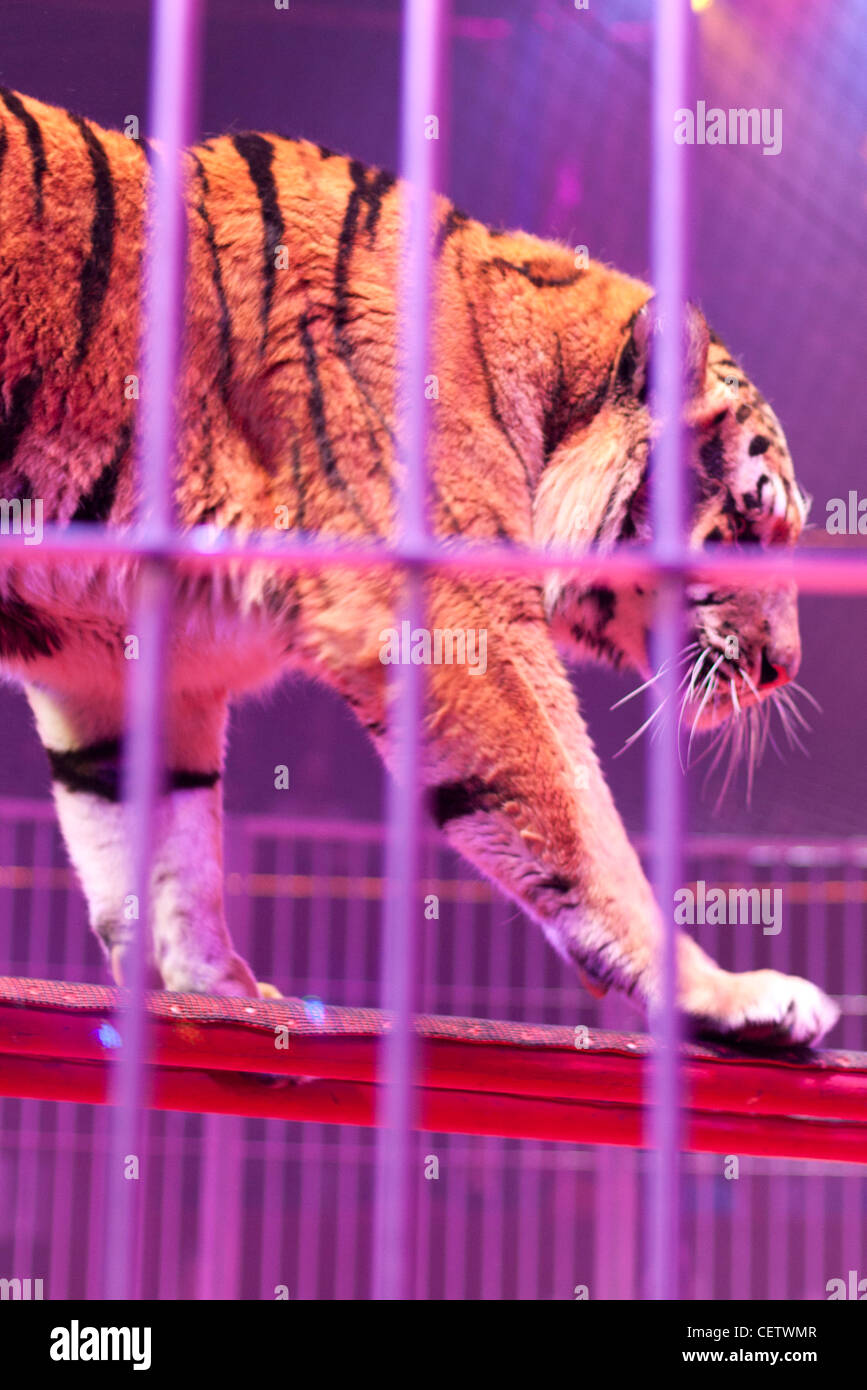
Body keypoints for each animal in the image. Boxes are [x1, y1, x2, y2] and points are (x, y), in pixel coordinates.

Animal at [0, 90, 839, 1045]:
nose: (783, 670)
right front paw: (725, 993)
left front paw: (215, 991)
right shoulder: (455, 615)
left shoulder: (132, 662)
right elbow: (581, 818)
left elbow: (161, 850)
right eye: (744, 525)